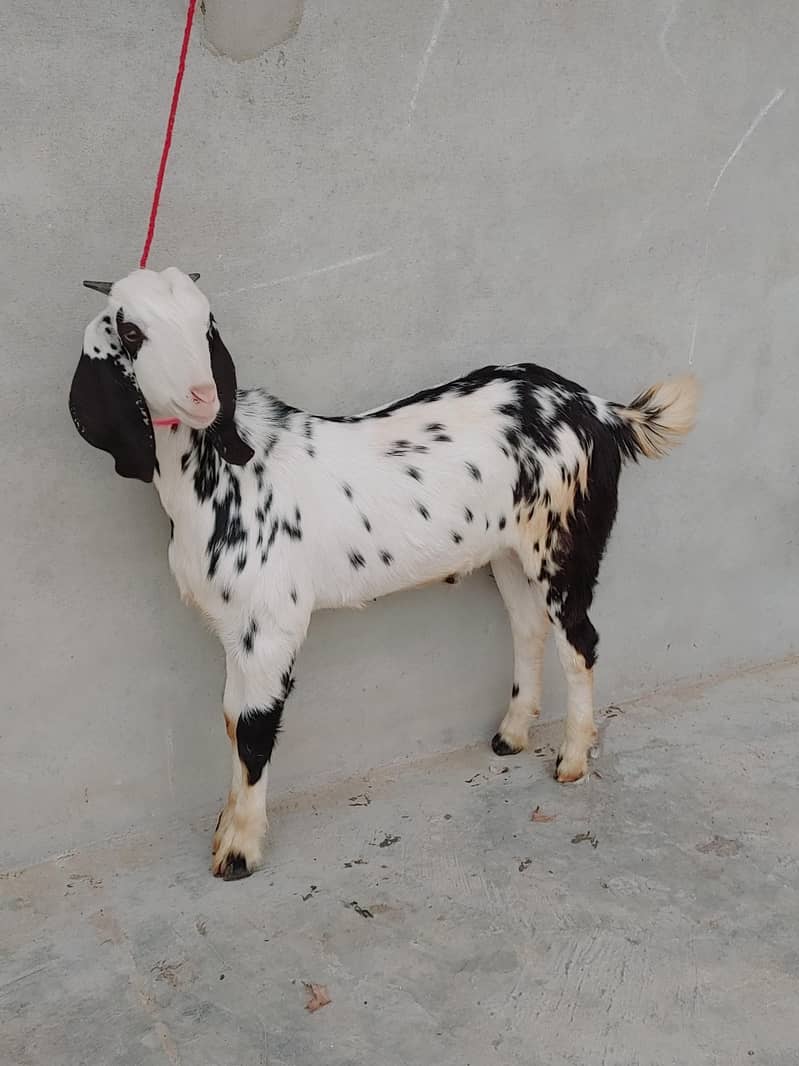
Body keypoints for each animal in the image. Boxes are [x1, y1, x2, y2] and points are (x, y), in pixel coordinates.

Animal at [69, 267, 698, 879]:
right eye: (131, 332)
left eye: (207, 325)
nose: (203, 396)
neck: (226, 471)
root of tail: (600, 409)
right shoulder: (235, 630)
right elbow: (229, 719)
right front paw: (228, 829)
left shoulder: (268, 625)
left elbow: (251, 729)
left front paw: (239, 850)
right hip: (509, 553)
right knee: (528, 628)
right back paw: (512, 736)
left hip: (562, 545)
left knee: (580, 642)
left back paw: (571, 760)